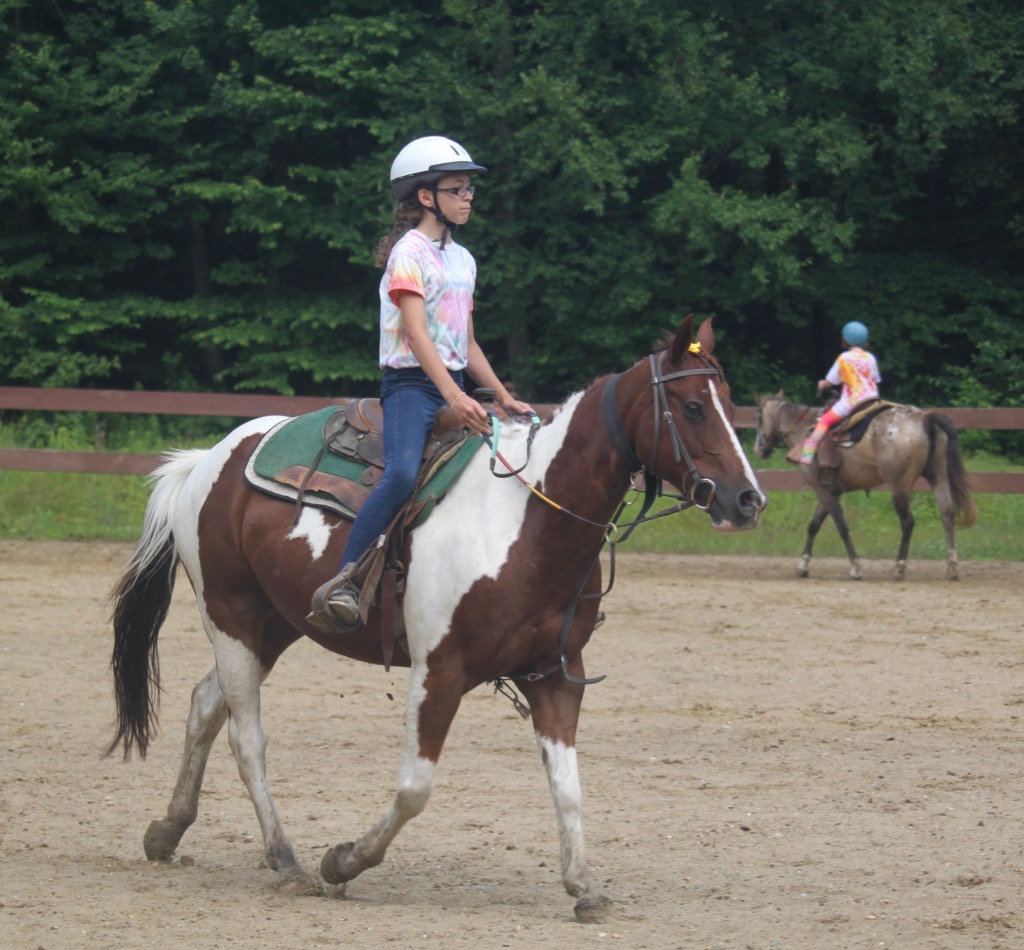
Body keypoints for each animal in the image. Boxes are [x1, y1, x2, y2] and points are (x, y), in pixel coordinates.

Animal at [107, 315, 766, 923]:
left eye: (730, 401)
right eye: (691, 407)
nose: (748, 500)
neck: (526, 522)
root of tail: (208, 460)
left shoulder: (555, 675)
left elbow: (568, 785)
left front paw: (584, 887)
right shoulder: (440, 670)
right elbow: (415, 789)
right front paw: (343, 861)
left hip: (276, 625)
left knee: (204, 705)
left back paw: (168, 830)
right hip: (233, 615)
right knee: (247, 738)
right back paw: (288, 861)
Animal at [753, 393, 977, 581]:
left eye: (758, 418)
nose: (758, 449)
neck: (805, 430)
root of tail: (924, 418)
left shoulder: (822, 489)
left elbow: (841, 526)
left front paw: (855, 567)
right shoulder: (831, 491)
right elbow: (813, 526)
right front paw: (803, 566)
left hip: (900, 486)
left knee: (908, 522)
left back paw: (899, 567)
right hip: (938, 478)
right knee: (947, 515)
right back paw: (952, 568)